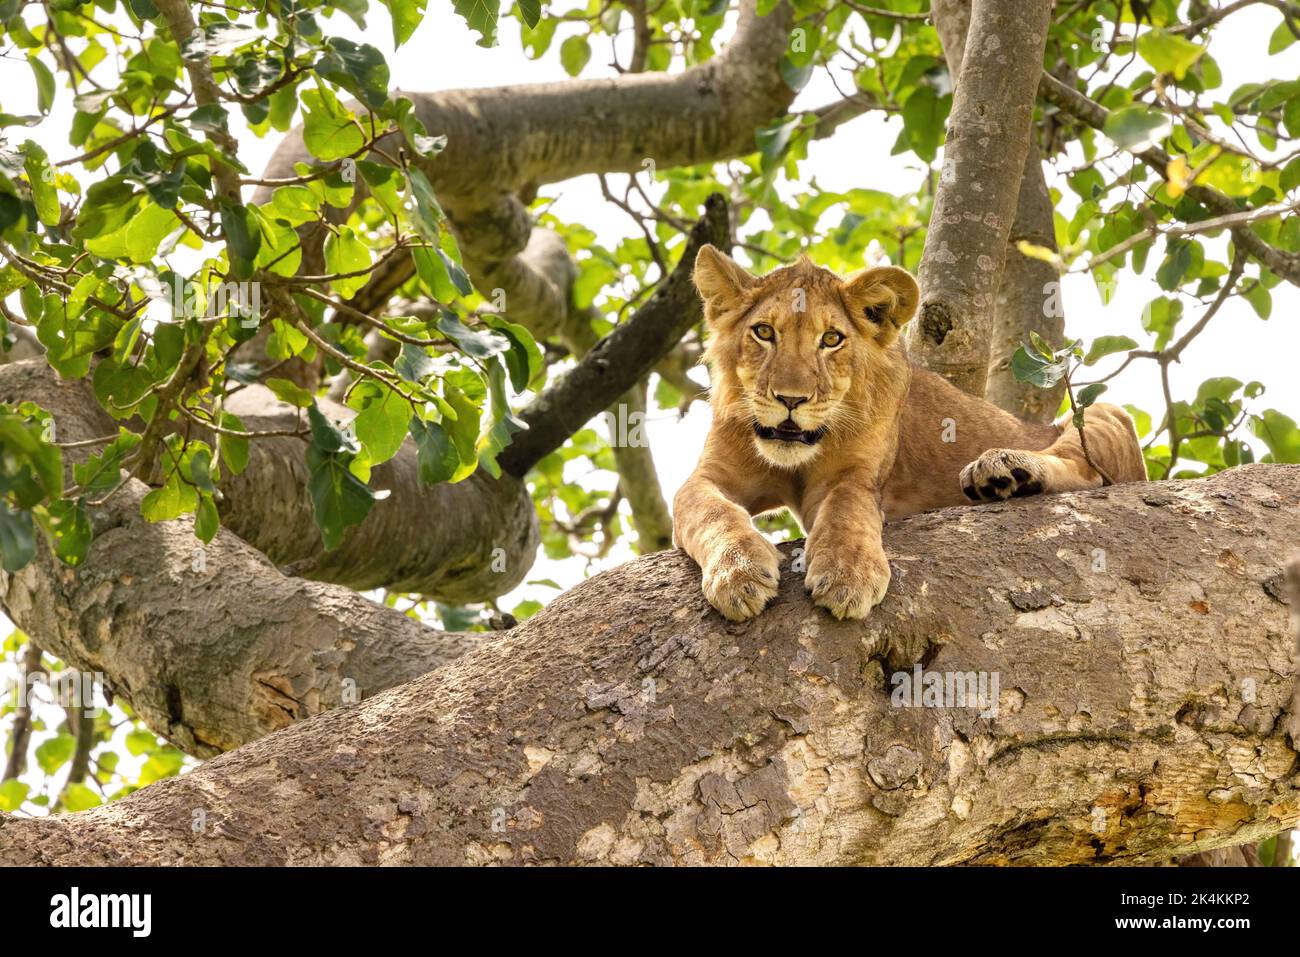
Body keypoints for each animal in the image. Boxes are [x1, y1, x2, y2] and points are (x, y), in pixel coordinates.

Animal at [673, 246, 1146, 622]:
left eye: (831, 339)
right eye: (764, 332)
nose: (791, 398)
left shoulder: (856, 476)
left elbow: (847, 511)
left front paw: (849, 574)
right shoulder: (710, 476)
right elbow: (710, 511)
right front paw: (739, 571)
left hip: (1105, 415)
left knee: (1085, 472)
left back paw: (1002, 470)